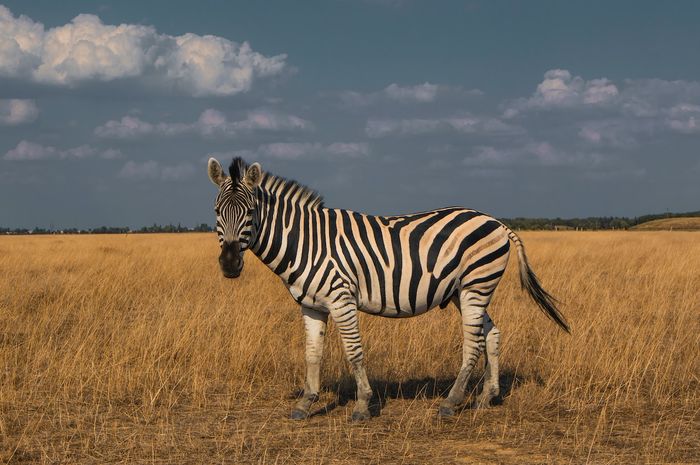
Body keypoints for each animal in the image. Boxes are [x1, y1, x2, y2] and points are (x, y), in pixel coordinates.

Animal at [207, 157, 570, 421]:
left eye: (250, 212)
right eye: (216, 212)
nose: (229, 264)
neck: (305, 242)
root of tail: (497, 222)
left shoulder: (341, 298)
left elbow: (354, 352)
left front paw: (362, 406)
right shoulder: (311, 305)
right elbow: (312, 353)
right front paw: (305, 404)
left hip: (474, 286)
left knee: (473, 343)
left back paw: (451, 403)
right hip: (464, 291)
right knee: (491, 334)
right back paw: (485, 398)